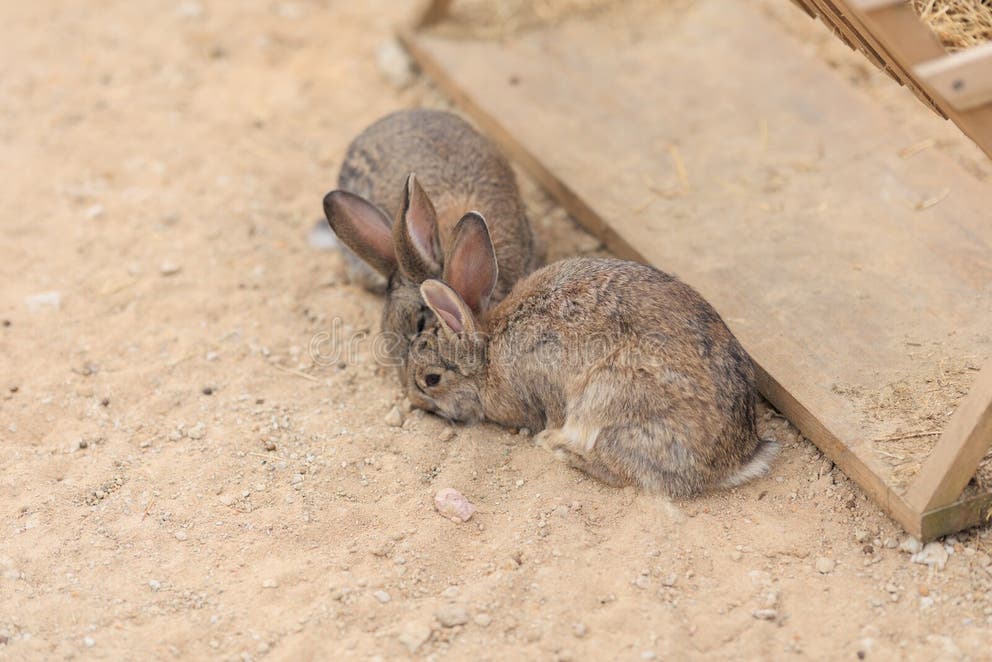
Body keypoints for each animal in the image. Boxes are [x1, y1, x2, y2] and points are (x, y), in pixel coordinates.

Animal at [404, 213, 778, 496]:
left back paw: (557, 447)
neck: (488, 355)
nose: (414, 404)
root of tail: (737, 460)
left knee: (620, 471)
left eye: (431, 380)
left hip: (608, 401)